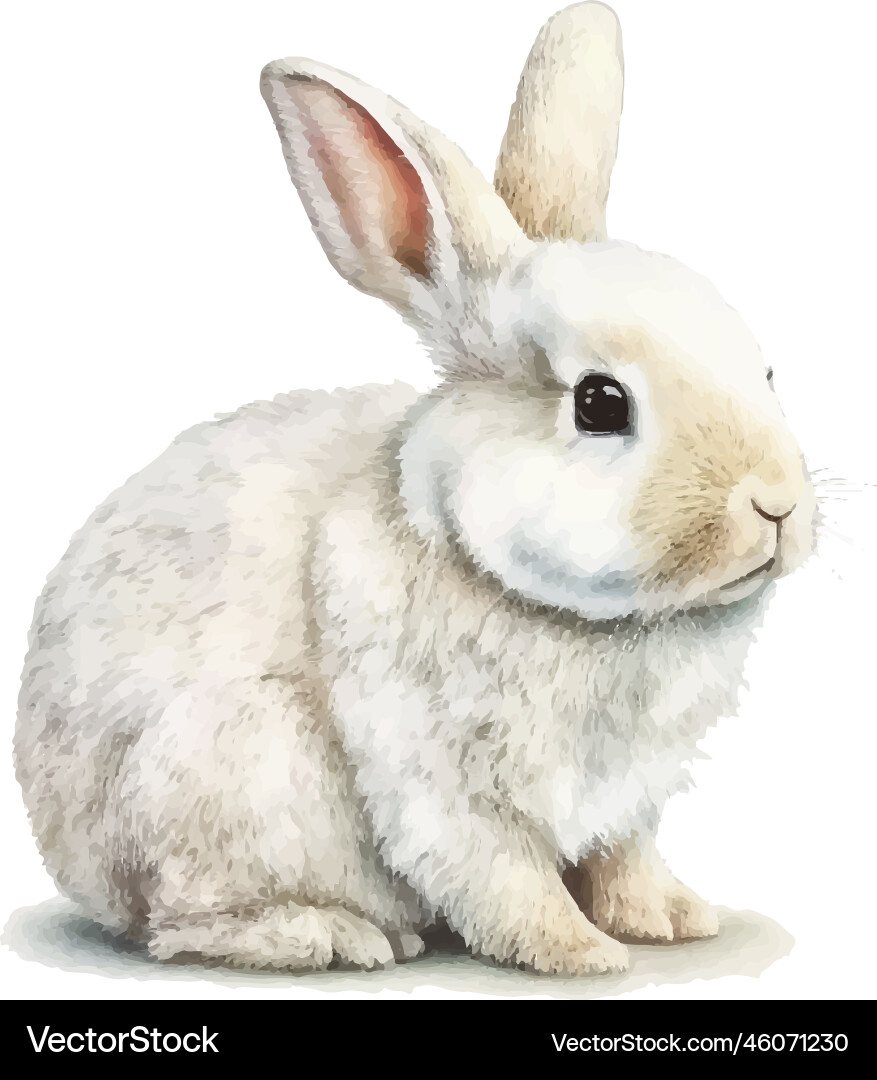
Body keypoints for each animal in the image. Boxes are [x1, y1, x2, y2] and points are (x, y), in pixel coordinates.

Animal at [14, 1, 815, 976]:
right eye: (599, 402)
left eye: (765, 371)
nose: (774, 504)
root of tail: (73, 859)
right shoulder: (439, 780)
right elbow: (502, 879)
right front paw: (578, 956)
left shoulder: (627, 801)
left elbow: (624, 859)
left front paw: (669, 920)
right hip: (233, 768)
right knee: (178, 920)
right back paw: (337, 935)